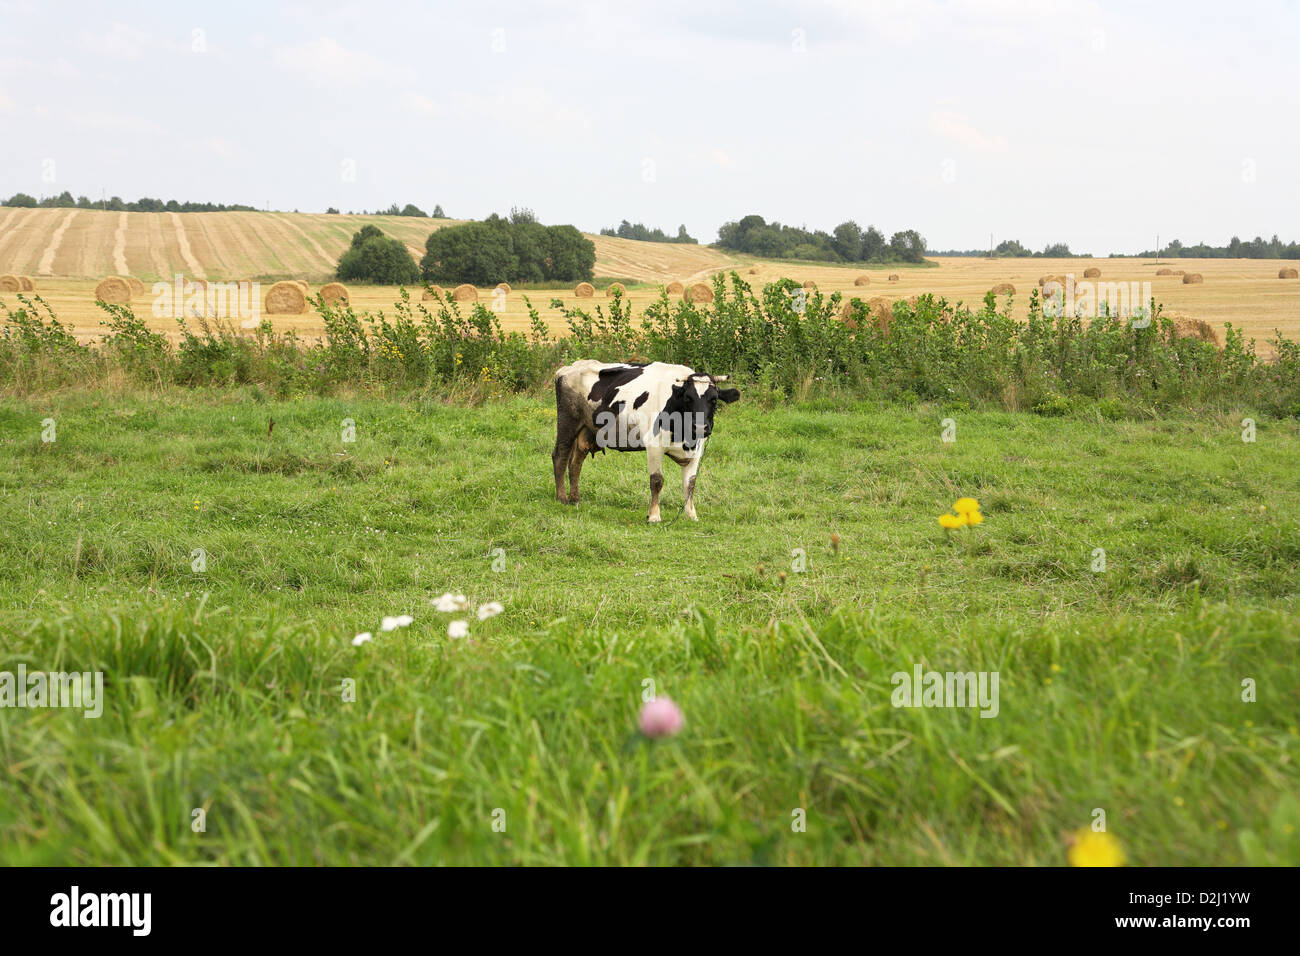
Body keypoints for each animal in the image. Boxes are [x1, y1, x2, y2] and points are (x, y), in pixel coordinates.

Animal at [552, 360, 740, 522]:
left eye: (714, 400)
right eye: (688, 398)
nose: (700, 427)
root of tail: (570, 367)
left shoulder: (696, 451)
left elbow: (690, 483)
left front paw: (691, 515)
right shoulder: (654, 446)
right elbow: (657, 481)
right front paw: (654, 516)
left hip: (586, 430)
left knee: (575, 463)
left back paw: (575, 498)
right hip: (568, 423)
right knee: (560, 457)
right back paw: (562, 498)